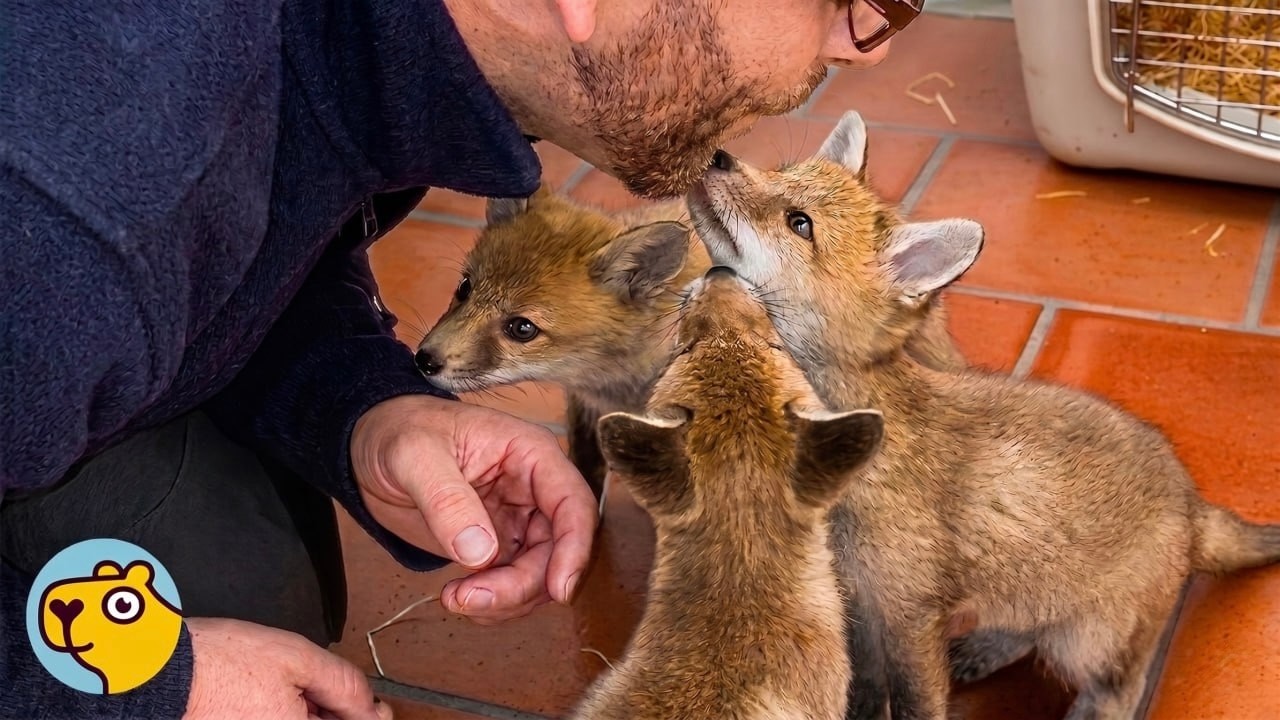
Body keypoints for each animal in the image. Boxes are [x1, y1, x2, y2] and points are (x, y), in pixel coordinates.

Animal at [415, 184, 966, 505]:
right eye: (464, 288)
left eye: (521, 328)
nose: (424, 360)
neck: (617, 380)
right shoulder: (585, 406)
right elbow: (584, 472)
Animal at [688, 110, 1280, 720]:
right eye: (779, 171)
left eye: (799, 223)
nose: (717, 156)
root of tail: (1192, 502)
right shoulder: (859, 605)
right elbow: (866, 693)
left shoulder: (908, 614)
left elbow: (916, 704)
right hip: (1030, 593)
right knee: (1027, 630)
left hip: (1088, 645)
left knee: (1118, 690)